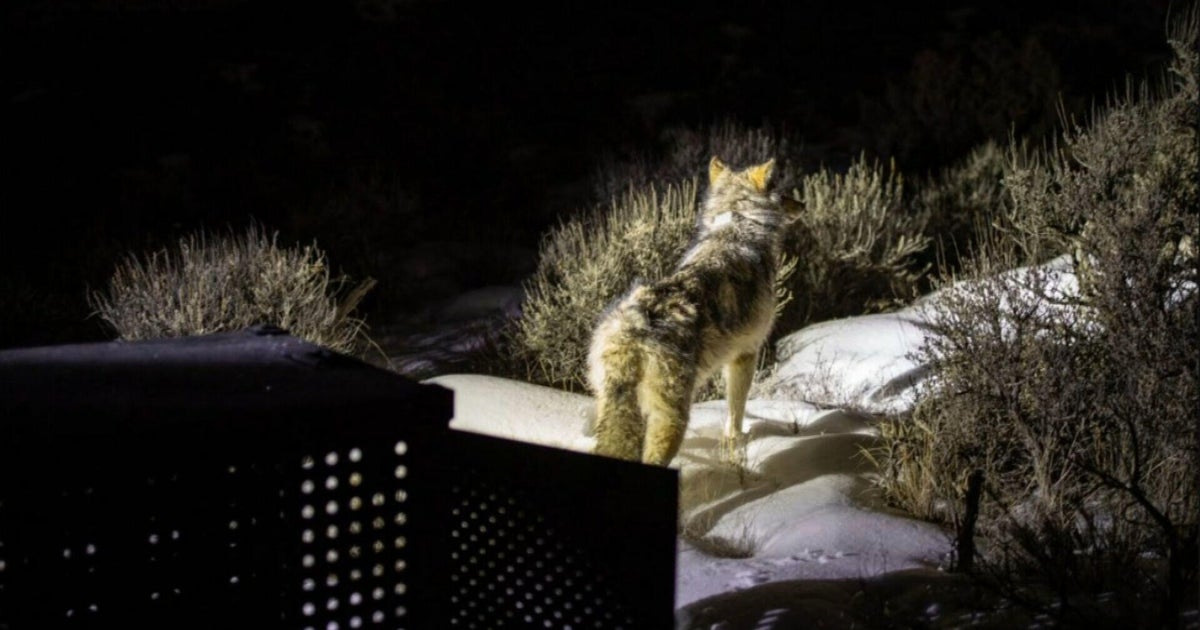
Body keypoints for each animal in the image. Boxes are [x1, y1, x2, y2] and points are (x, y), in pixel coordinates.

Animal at [587, 156, 799, 465]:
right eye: (782, 192)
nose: (802, 205)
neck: (737, 226)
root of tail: (632, 328)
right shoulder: (746, 355)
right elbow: (735, 414)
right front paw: (736, 448)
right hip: (672, 420)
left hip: (612, 409)